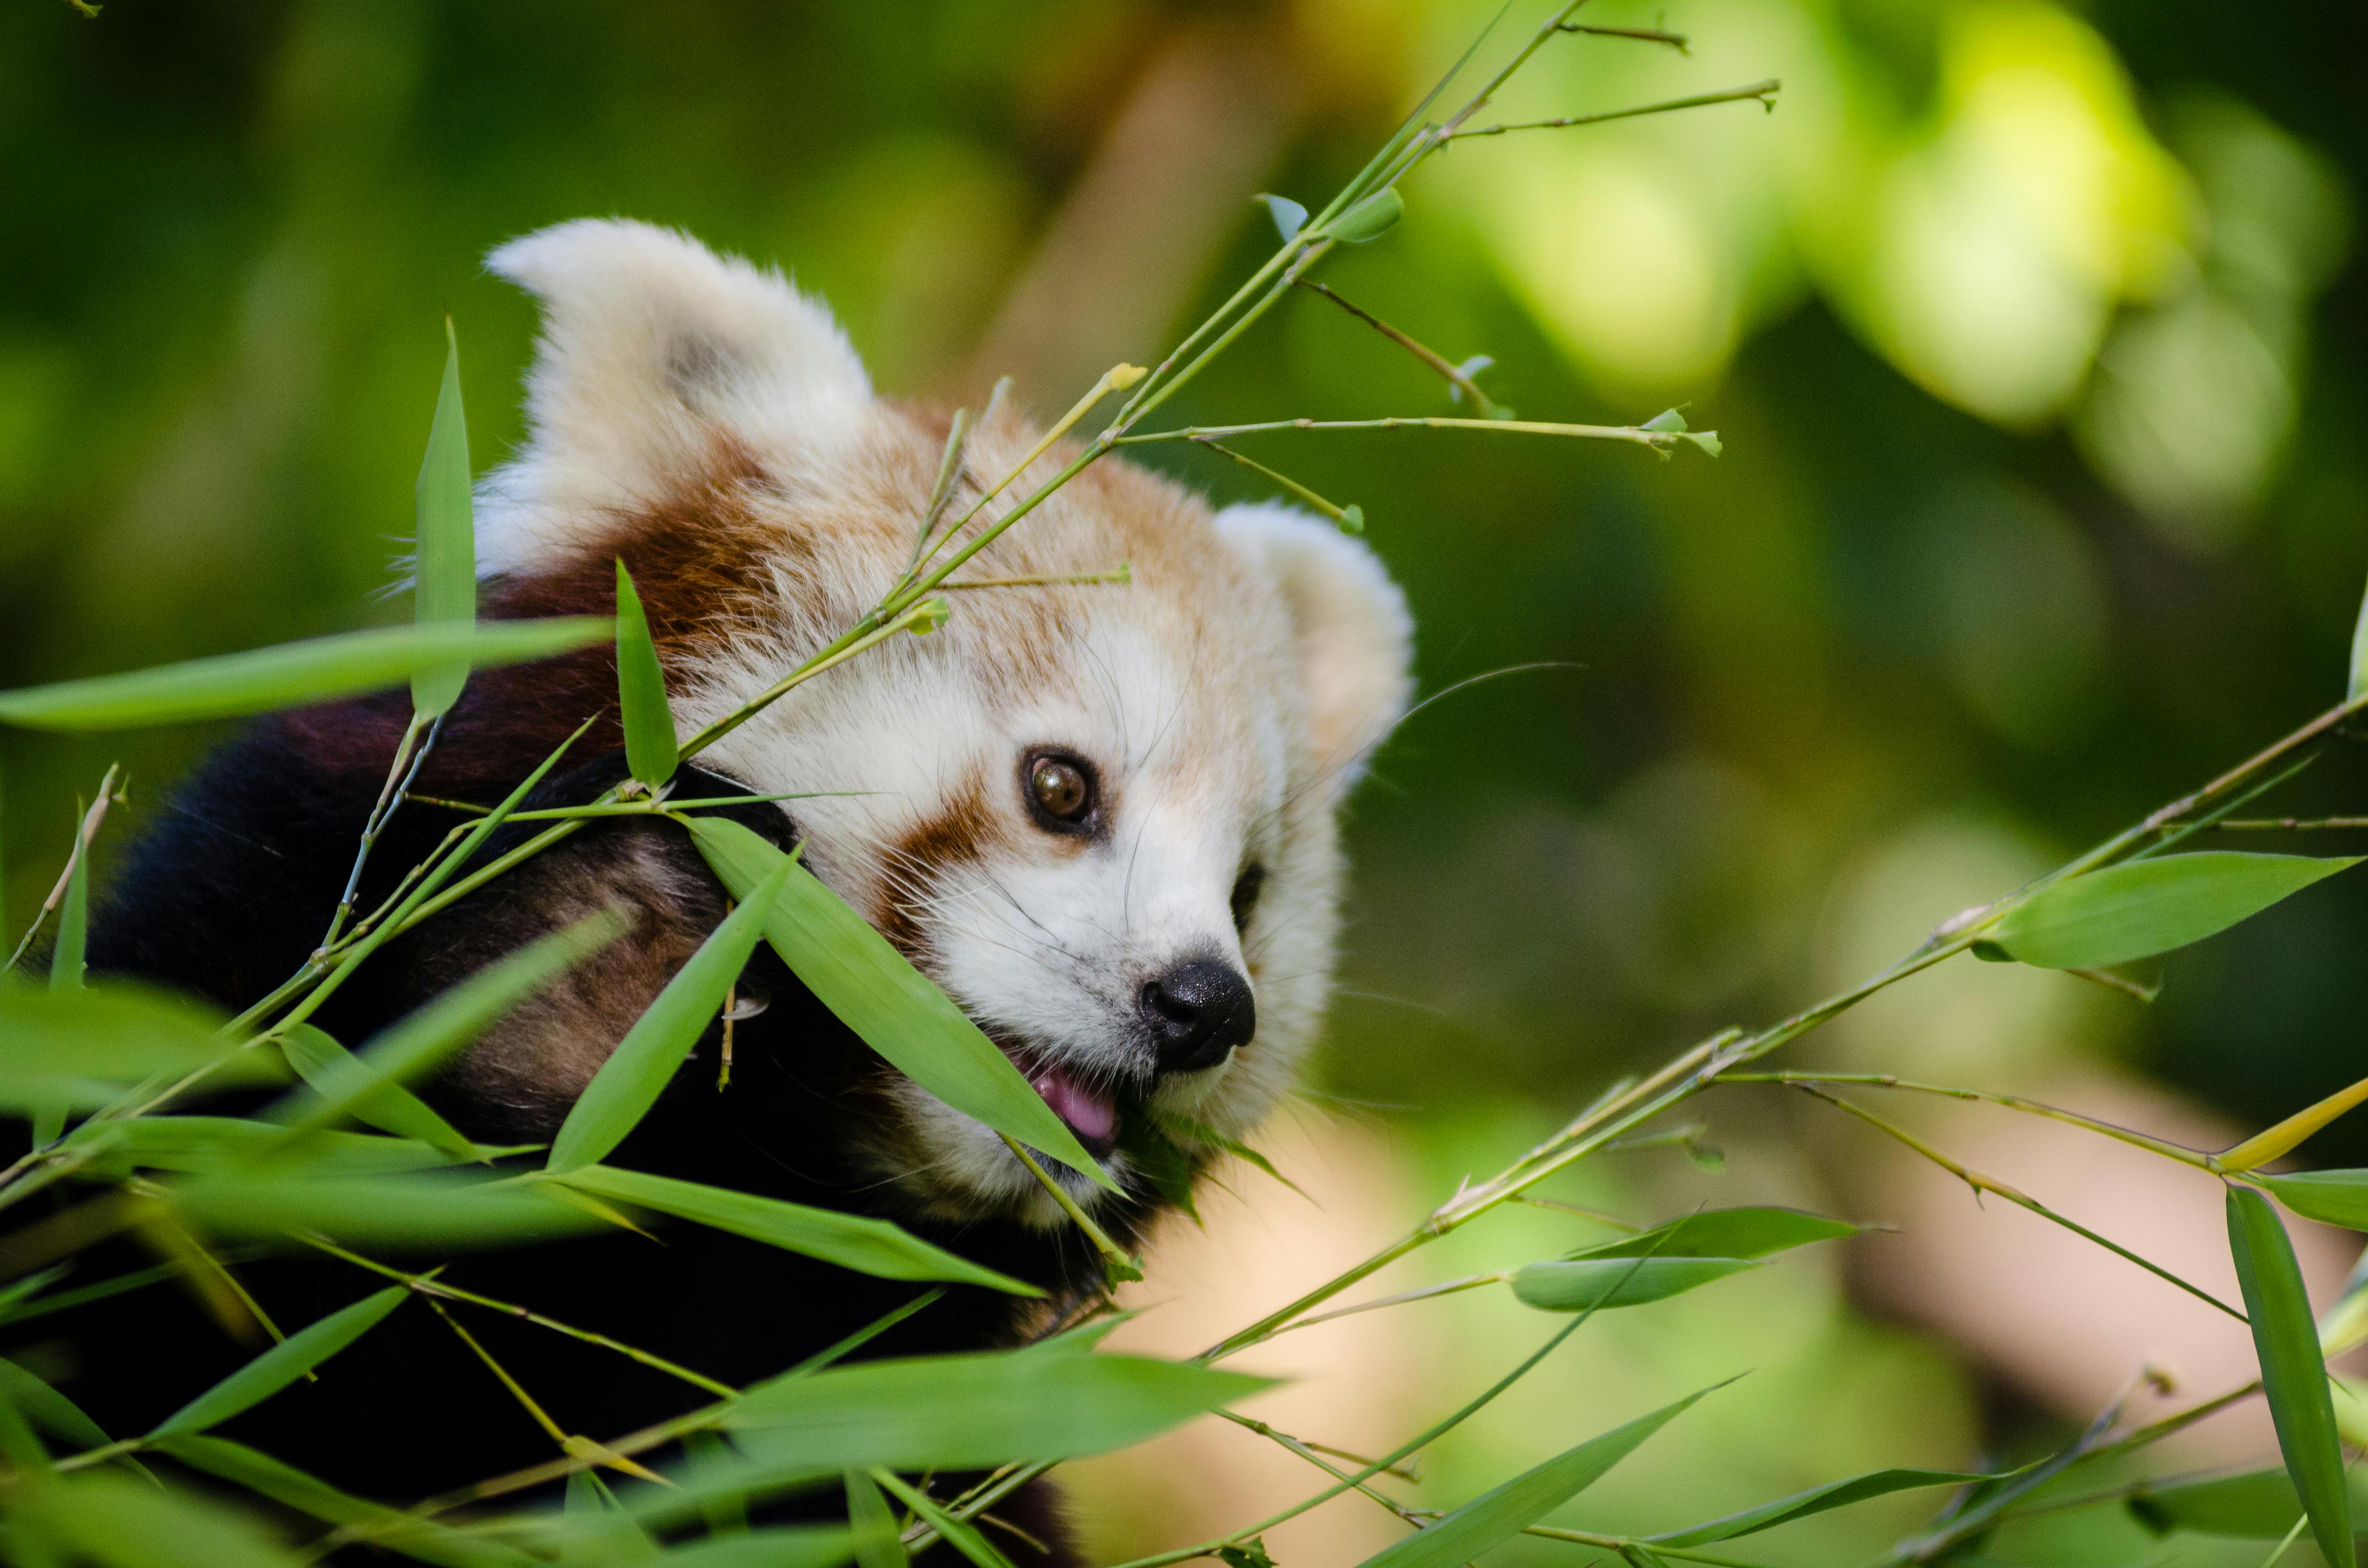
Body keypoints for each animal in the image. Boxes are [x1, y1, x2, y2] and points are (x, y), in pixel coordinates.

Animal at [69, 219, 1414, 1546]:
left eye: (1247, 892)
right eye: (1061, 788)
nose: (1204, 1007)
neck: (758, 1169)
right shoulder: (247, 937)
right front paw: (612, 960)